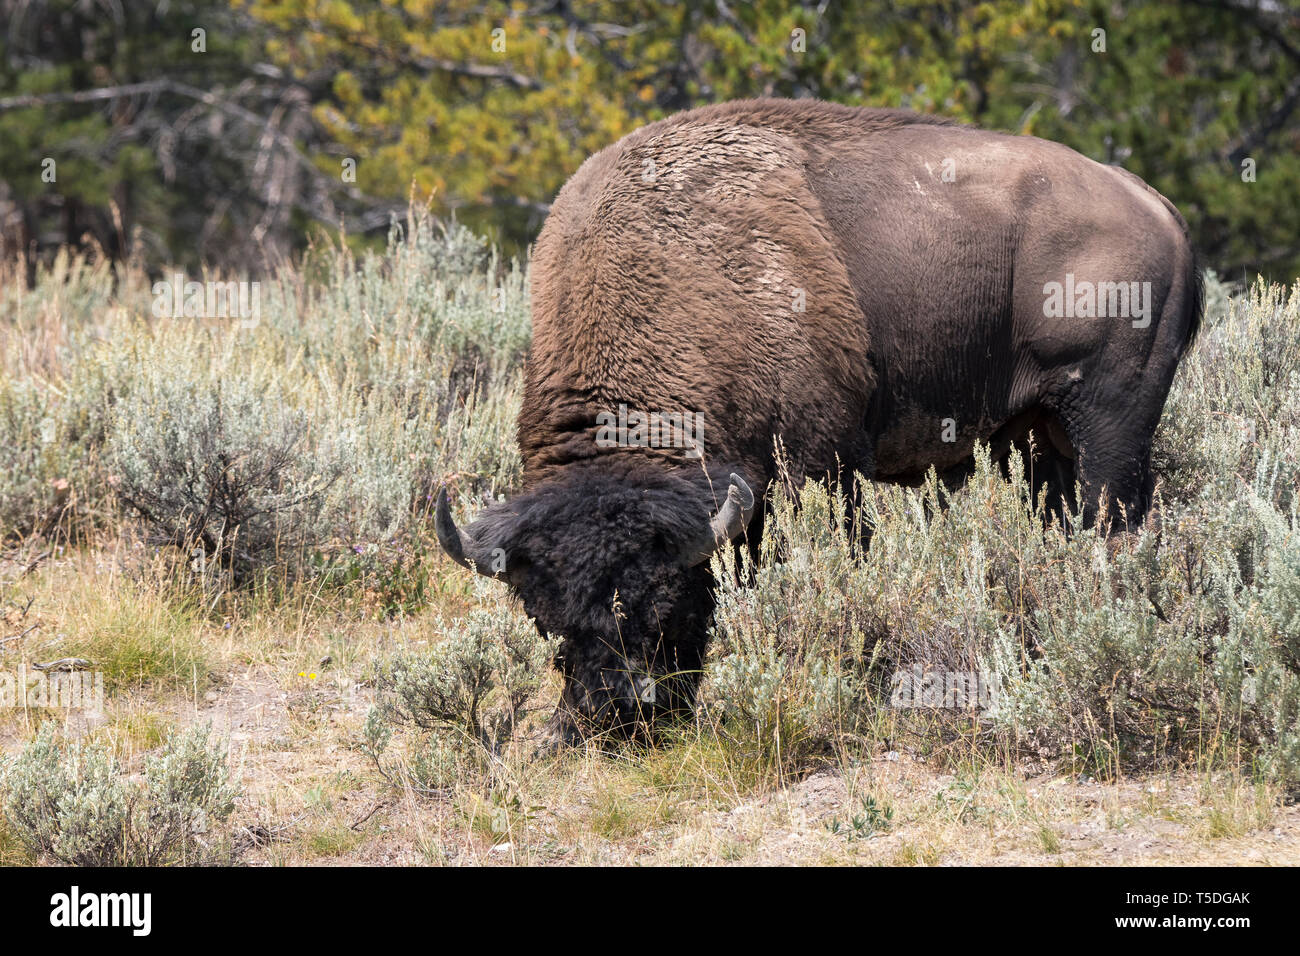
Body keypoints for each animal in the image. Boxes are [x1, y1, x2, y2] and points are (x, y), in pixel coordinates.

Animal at [436, 98, 1202, 748]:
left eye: (659, 604)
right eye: (544, 620)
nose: (610, 716)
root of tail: (1153, 204)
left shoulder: (821, 465)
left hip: (1107, 428)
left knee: (1114, 526)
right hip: (1044, 435)